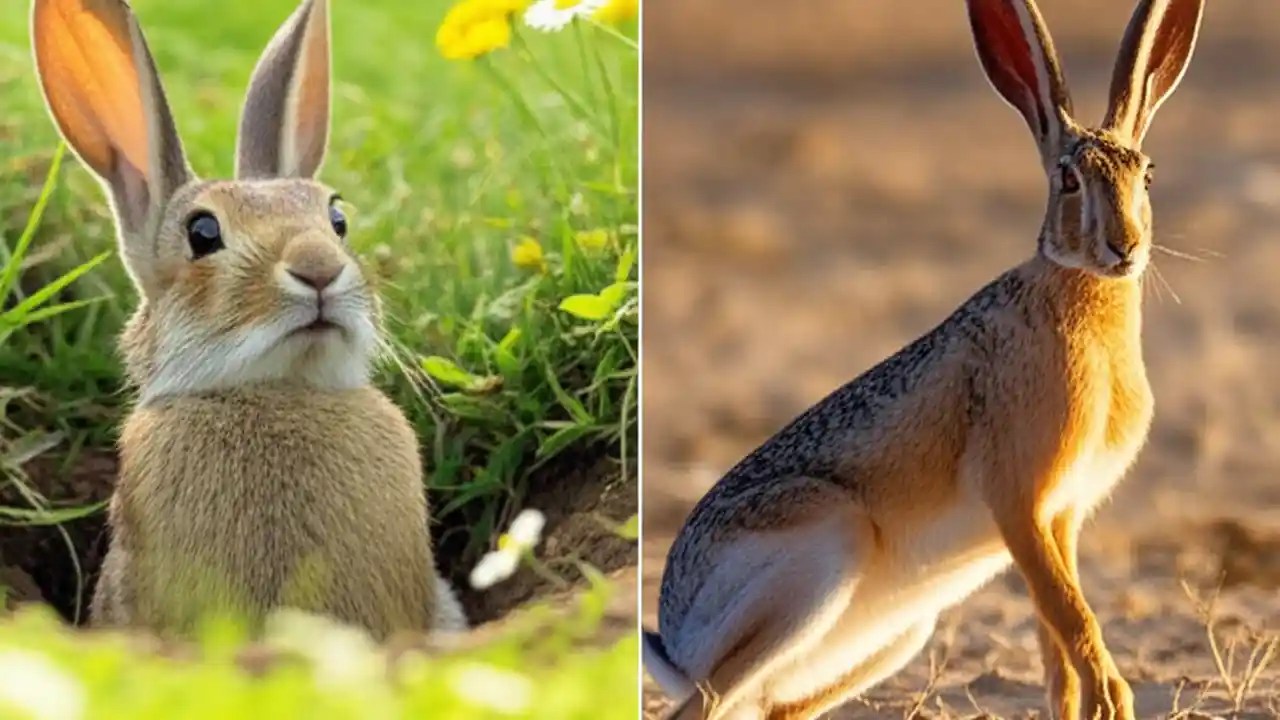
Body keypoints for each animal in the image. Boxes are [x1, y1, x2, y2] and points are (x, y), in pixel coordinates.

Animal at [643, 0, 1204, 718]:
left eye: (1147, 175)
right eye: (1068, 178)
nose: (1123, 247)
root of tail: (677, 642)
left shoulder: (1061, 518)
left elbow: (1056, 634)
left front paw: (1083, 702)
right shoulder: (1018, 501)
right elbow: (1071, 616)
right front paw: (1112, 697)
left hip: (899, 633)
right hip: (822, 552)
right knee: (704, 702)